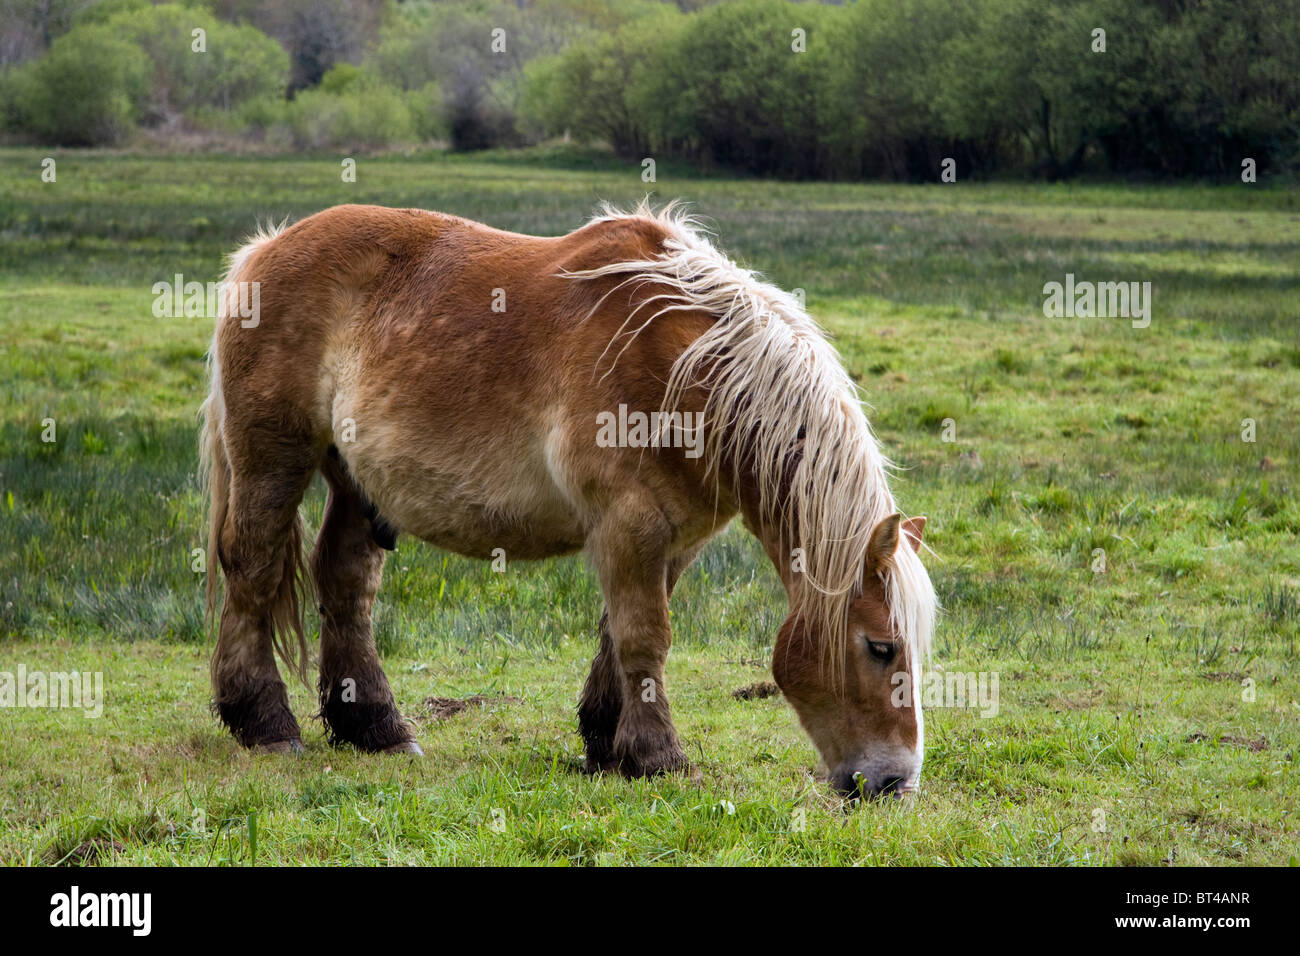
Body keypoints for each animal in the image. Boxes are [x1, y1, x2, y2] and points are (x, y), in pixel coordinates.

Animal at [199, 201, 938, 797]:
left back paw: (376, 728)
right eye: (880, 648)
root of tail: (264, 248)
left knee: (347, 584)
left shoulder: (669, 538)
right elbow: (646, 636)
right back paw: (264, 723)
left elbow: (621, 634)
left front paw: (607, 743)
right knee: (254, 571)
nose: (894, 782)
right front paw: (659, 758)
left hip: (356, 485)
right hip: (274, 460)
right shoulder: (629, 523)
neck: (691, 373)